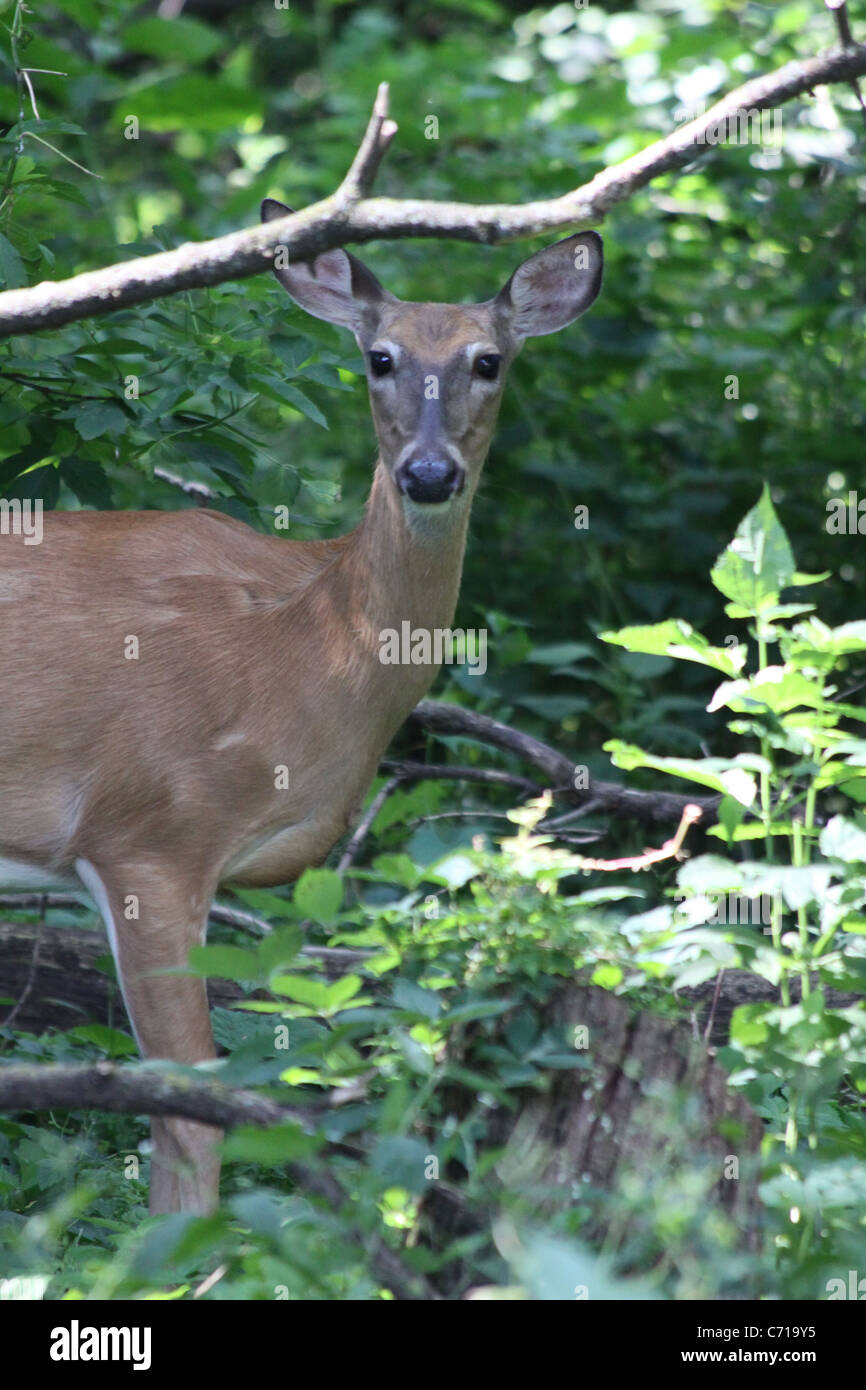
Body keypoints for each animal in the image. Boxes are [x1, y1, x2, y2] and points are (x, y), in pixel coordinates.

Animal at [0, 196, 602, 1215]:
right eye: (380, 357)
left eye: (489, 360)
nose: (429, 474)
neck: (312, 645)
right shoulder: (147, 833)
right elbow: (189, 1116)